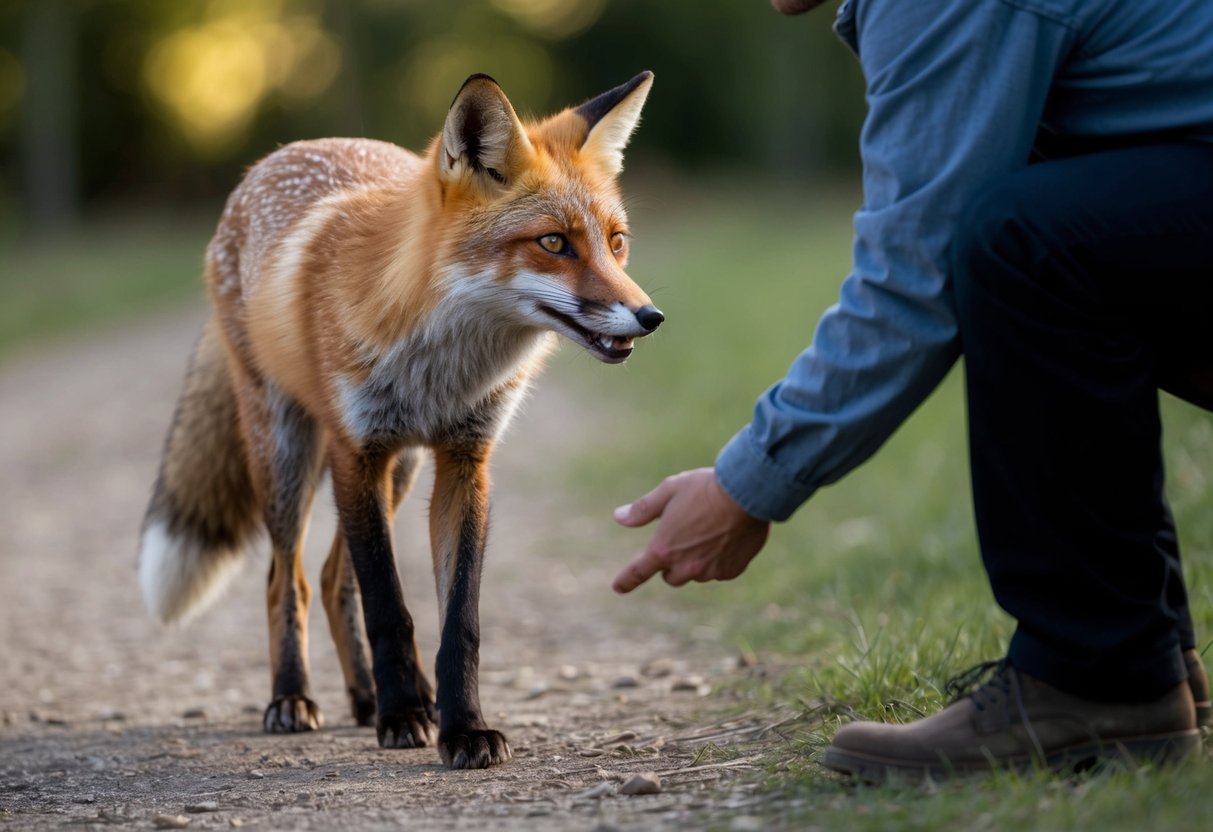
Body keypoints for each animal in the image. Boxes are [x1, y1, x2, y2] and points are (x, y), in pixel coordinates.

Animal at [137, 71, 662, 769]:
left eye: (615, 242)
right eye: (553, 242)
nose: (651, 316)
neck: (441, 370)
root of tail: (281, 154)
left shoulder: (464, 459)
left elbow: (457, 621)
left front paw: (462, 726)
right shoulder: (355, 451)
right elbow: (389, 607)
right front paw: (403, 717)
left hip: (403, 469)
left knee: (334, 579)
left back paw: (371, 697)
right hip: (288, 456)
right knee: (287, 581)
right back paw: (295, 699)